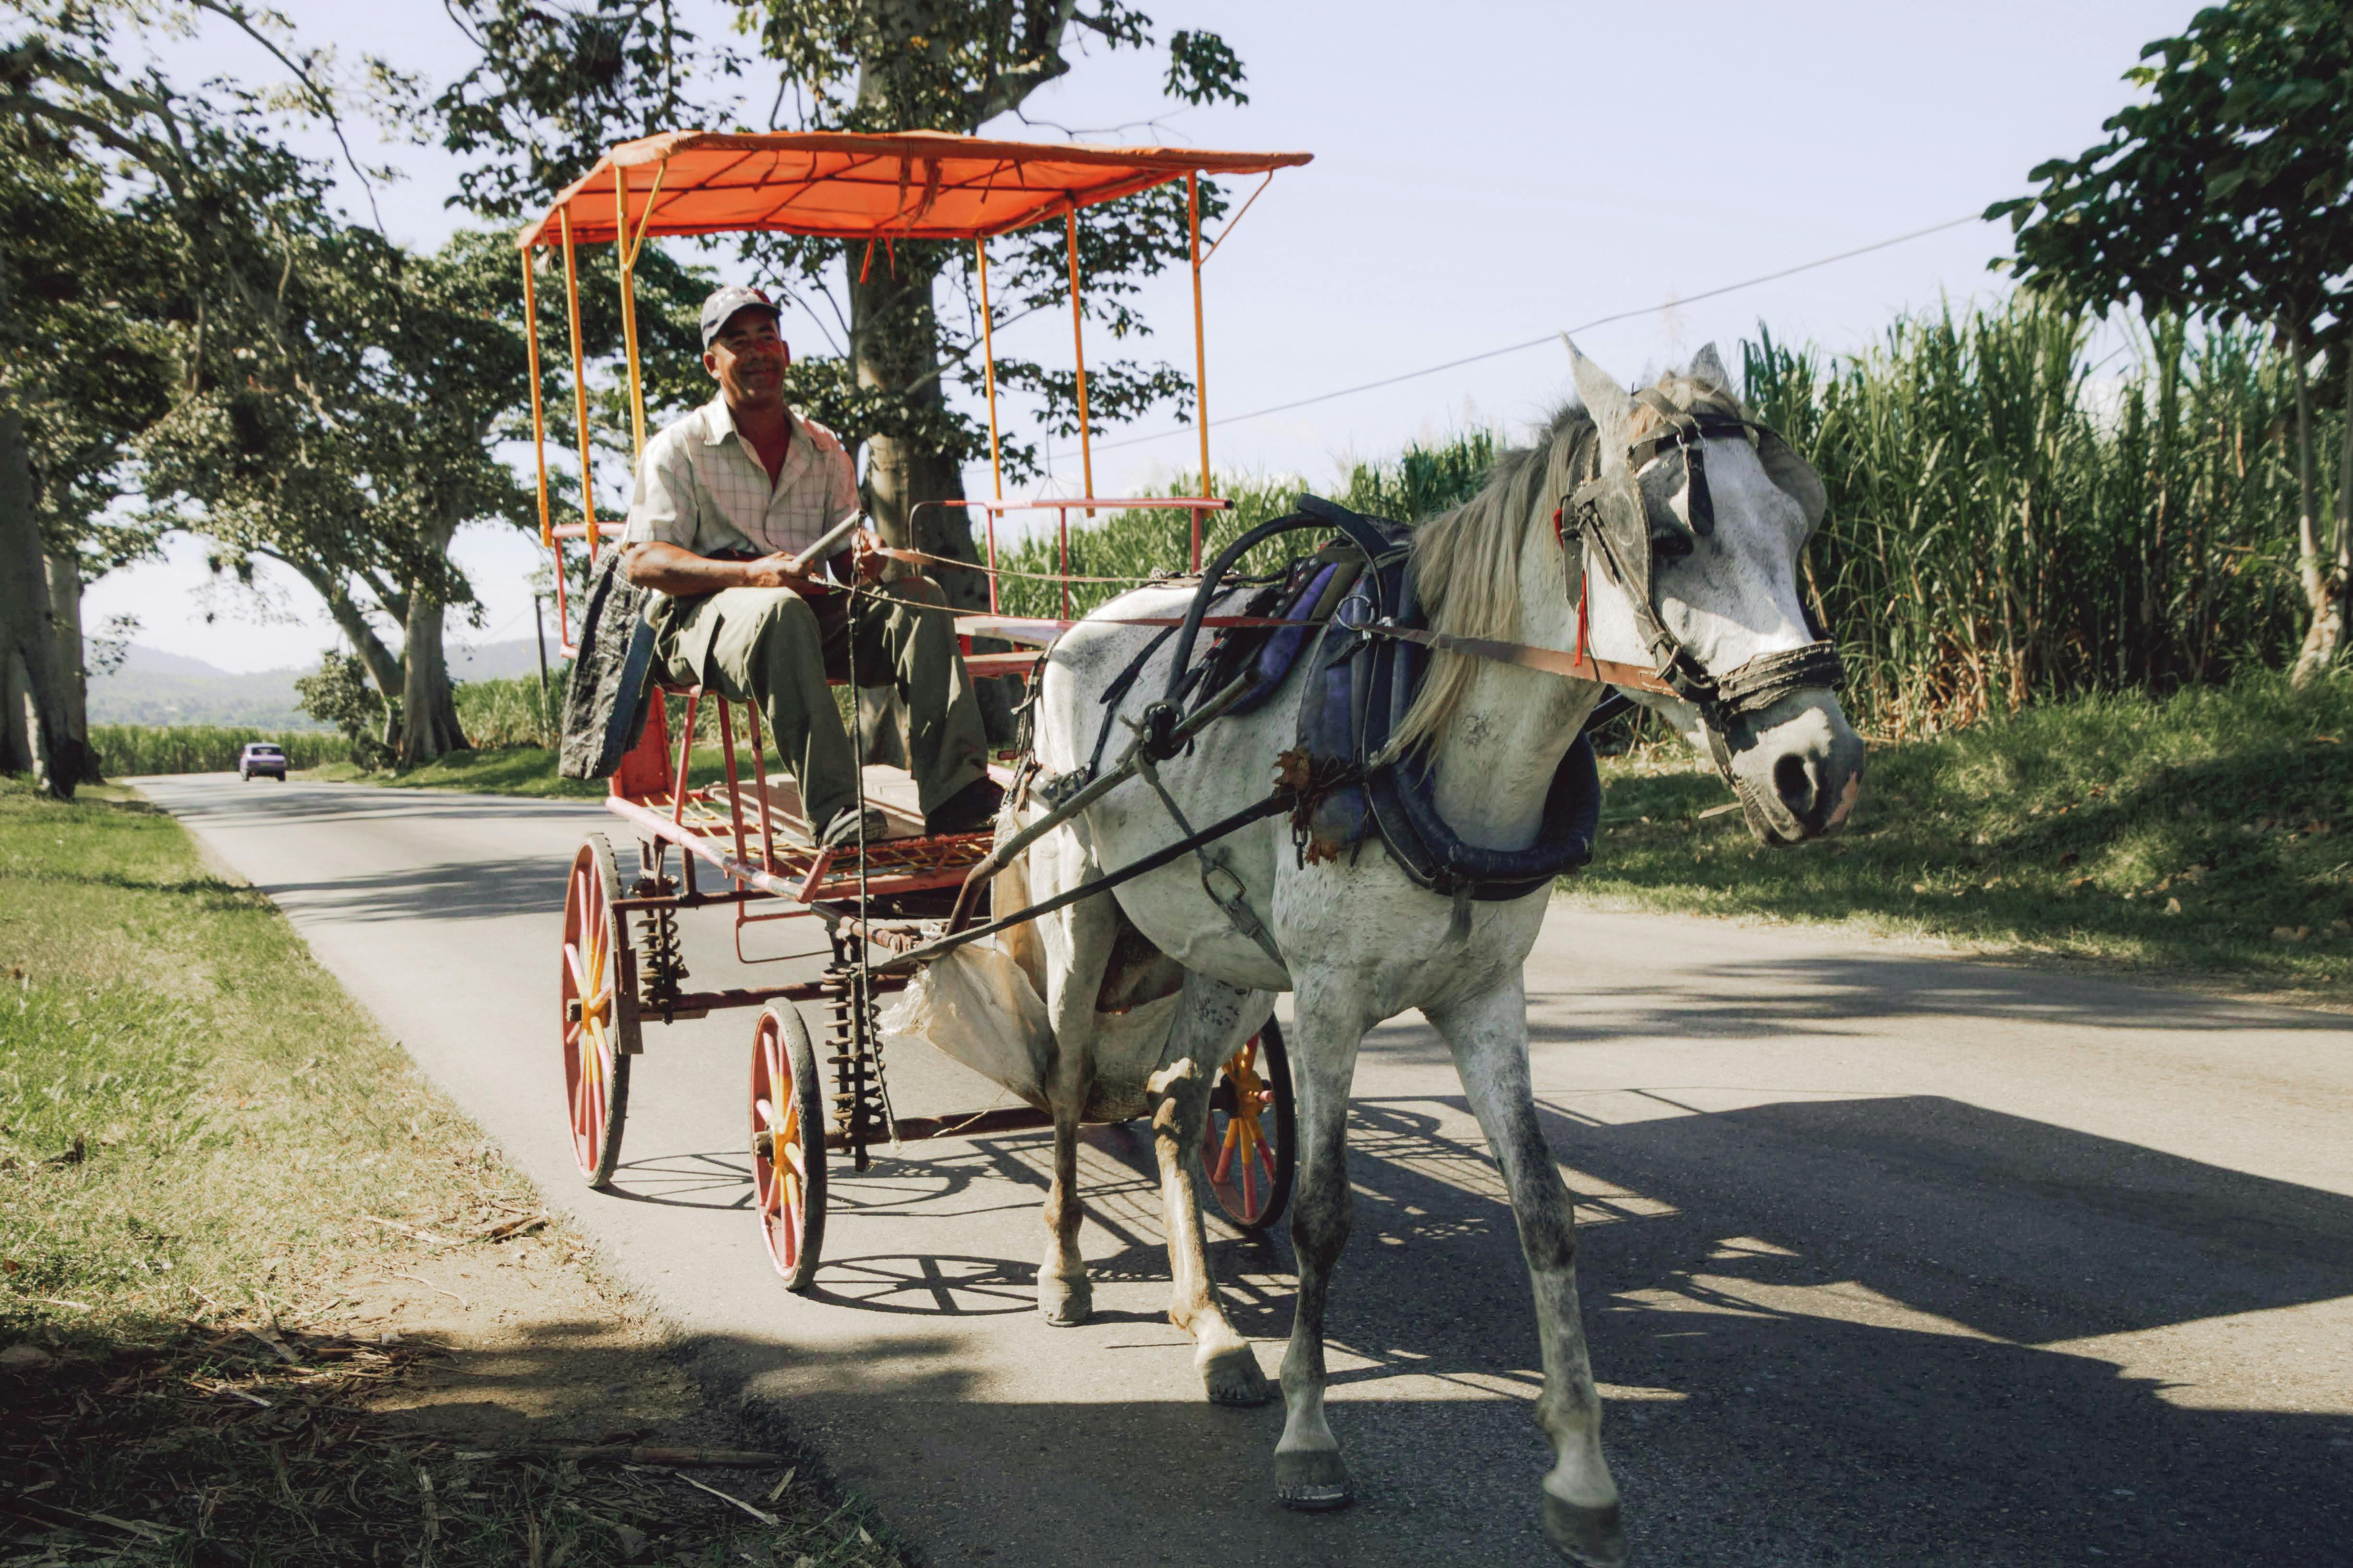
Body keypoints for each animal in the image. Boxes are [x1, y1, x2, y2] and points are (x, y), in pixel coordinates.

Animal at [985, 342, 1863, 1564]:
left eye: (1795, 524)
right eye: (1673, 536)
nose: (1816, 768)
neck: (1424, 743)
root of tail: (1069, 628)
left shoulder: (1485, 996)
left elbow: (1545, 1211)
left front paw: (1580, 1471)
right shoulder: (1328, 1000)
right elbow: (1320, 1216)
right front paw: (1312, 1440)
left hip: (1220, 956)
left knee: (1176, 1112)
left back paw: (1210, 1328)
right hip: (1084, 917)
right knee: (1069, 1085)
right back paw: (1065, 1273)